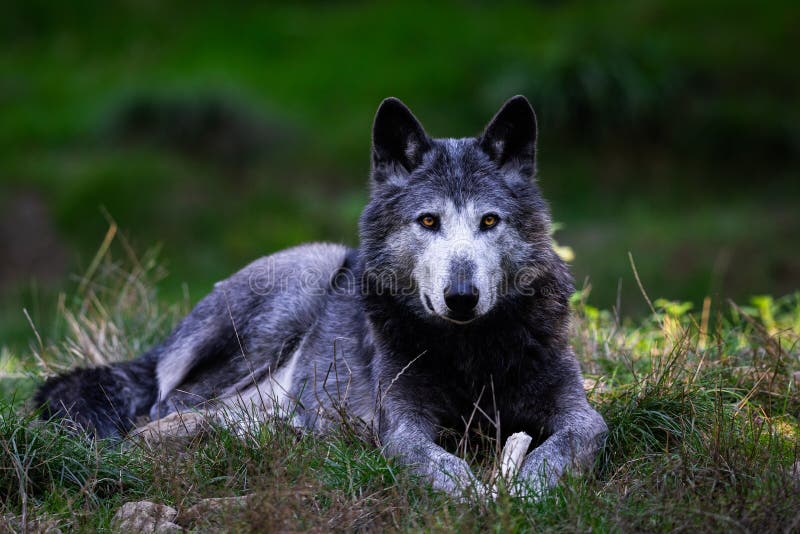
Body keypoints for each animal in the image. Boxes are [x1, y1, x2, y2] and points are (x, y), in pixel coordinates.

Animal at [35, 95, 607, 497]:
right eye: (428, 221)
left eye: (489, 221)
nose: (461, 297)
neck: (472, 354)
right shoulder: (403, 426)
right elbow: (432, 459)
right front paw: (472, 492)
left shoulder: (578, 411)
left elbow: (580, 435)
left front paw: (528, 486)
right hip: (295, 291)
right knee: (158, 413)